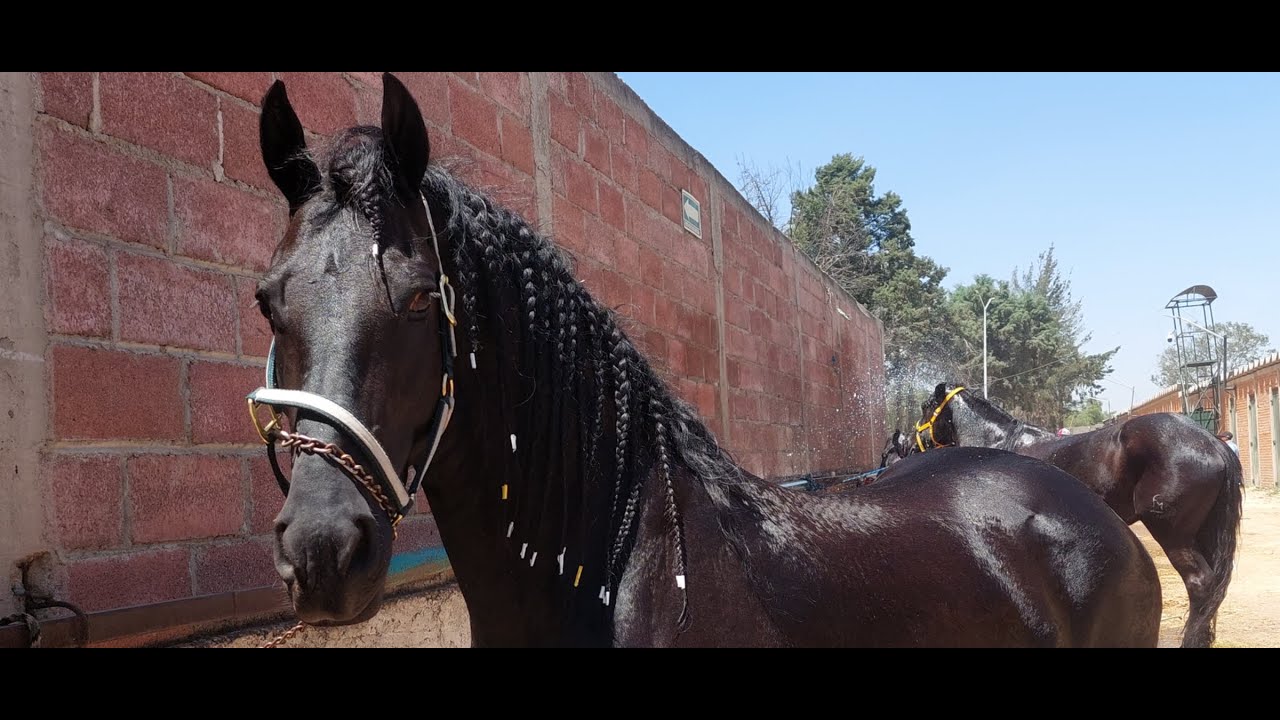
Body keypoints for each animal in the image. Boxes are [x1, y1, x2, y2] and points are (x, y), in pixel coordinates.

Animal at [916, 382, 1244, 648]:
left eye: (925, 406)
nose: (910, 442)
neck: (999, 444)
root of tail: (1211, 442)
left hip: (1174, 534)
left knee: (1200, 584)